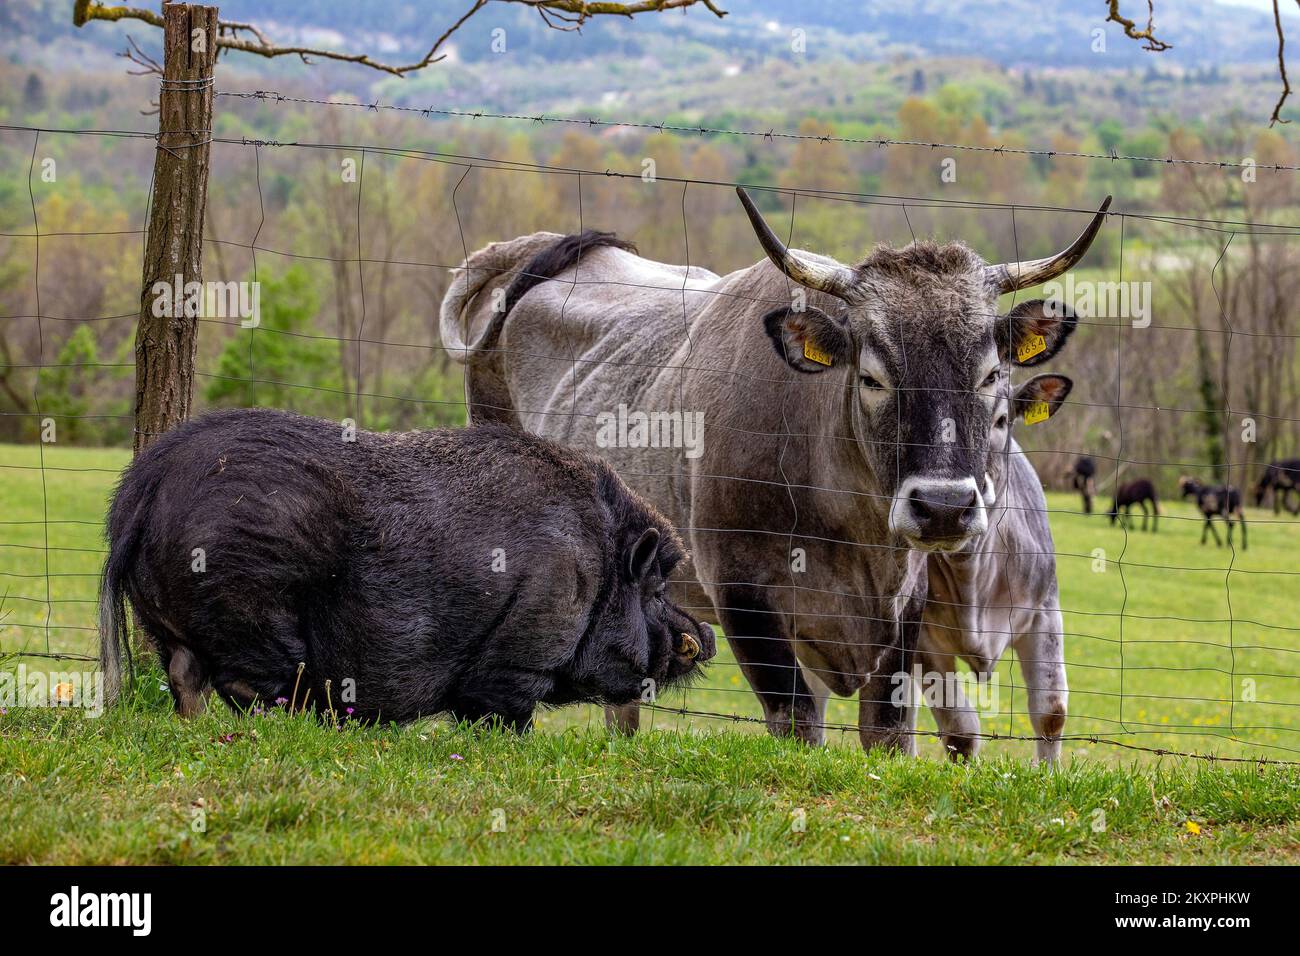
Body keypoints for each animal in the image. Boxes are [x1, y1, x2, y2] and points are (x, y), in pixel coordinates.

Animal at [99, 408, 715, 729]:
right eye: (655, 589)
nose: (705, 634)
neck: (596, 570)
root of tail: (141, 486)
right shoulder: (517, 657)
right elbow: (507, 715)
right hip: (250, 602)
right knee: (245, 680)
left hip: (169, 618)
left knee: (183, 673)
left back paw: (198, 730)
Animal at [441, 187, 1109, 751]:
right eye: (872, 377)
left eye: (991, 375)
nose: (944, 507)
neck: (848, 522)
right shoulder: (744, 597)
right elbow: (797, 723)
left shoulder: (905, 613)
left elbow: (887, 731)